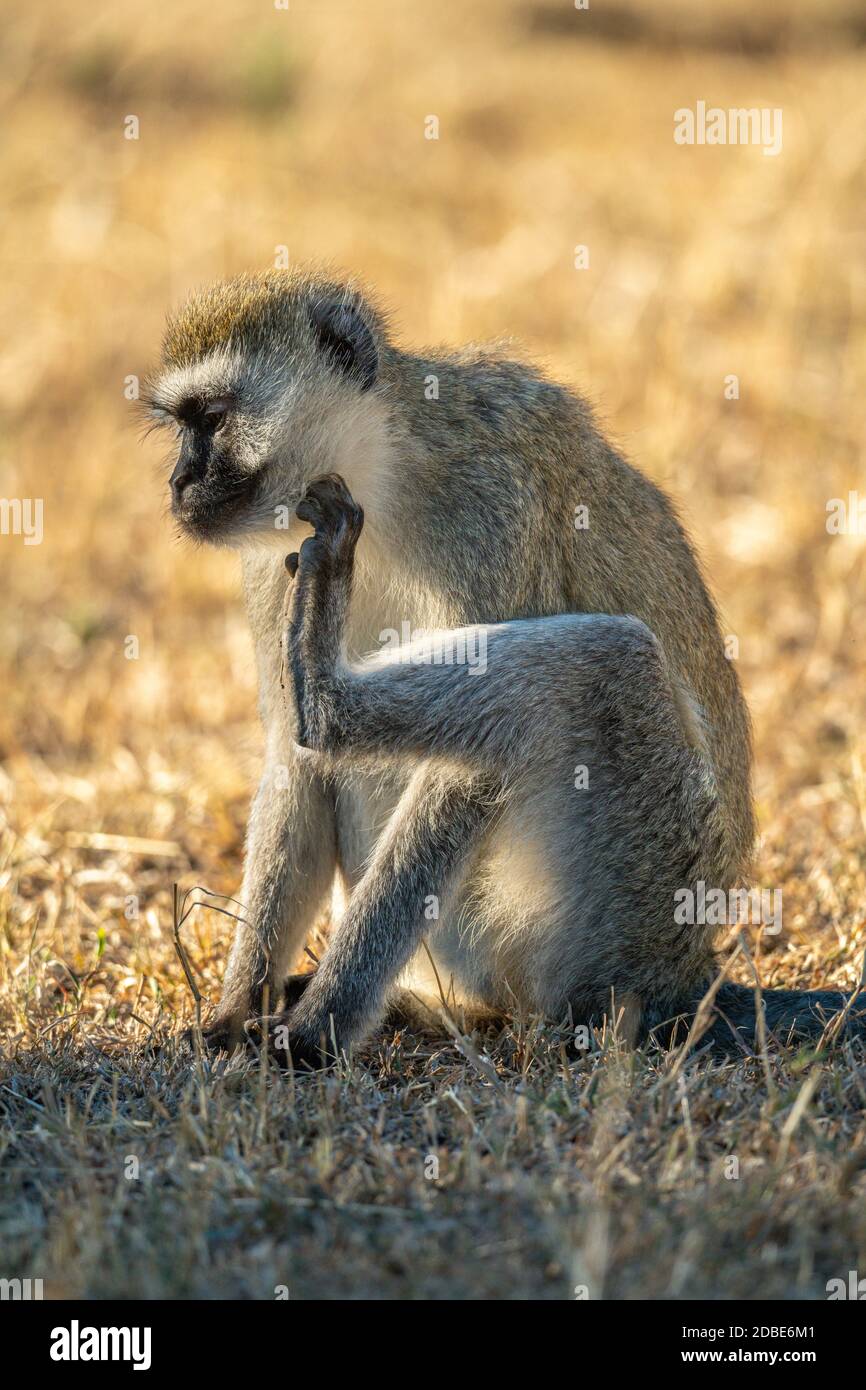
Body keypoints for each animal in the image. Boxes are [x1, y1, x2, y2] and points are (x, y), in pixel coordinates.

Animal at [147, 266, 866, 1062]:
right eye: (181, 427)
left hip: (628, 905)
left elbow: (465, 774)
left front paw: (319, 1026)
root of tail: (688, 976)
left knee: (604, 663)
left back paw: (326, 697)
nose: (178, 483)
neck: (382, 473)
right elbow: (289, 760)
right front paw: (237, 1012)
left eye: (212, 419)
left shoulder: (495, 510)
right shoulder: (272, 562)